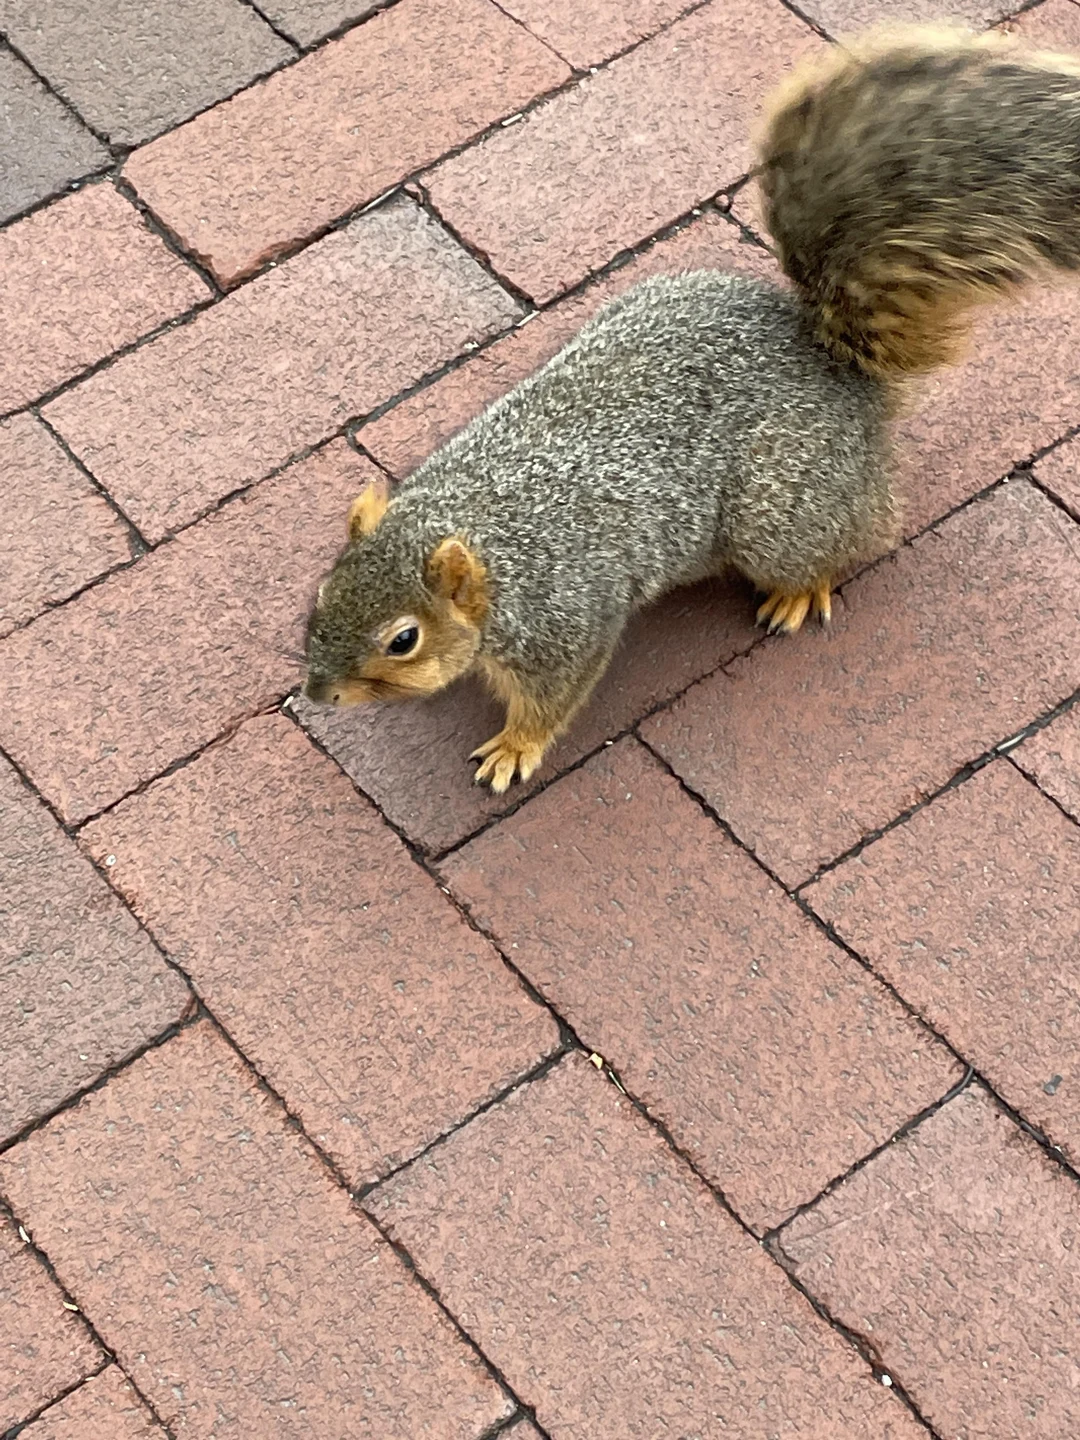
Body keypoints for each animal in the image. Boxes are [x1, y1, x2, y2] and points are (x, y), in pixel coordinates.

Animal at [303, 23, 1080, 795]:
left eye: (403, 640)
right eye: (324, 590)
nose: (319, 694)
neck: (480, 532)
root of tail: (840, 375)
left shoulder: (568, 621)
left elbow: (554, 697)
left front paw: (515, 747)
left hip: (782, 510)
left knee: (848, 542)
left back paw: (800, 592)